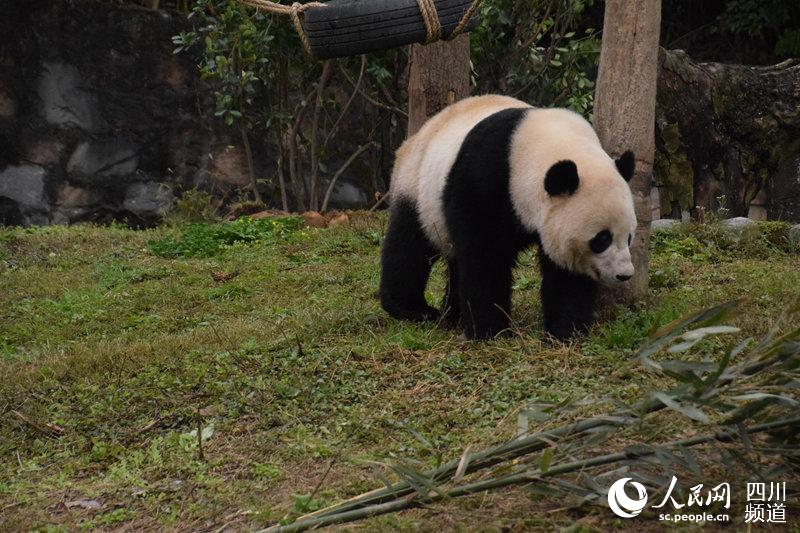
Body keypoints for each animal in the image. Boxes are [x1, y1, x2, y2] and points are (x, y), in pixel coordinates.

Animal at [379, 94, 637, 341]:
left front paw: (566, 330)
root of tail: (418, 134)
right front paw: (490, 331)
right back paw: (413, 309)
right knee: (410, 245)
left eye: (629, 237)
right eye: (602, 239)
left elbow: (567, 273)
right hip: (419, 188)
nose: (624, 274)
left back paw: (454, 314)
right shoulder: (484, 179)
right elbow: (485, 256)